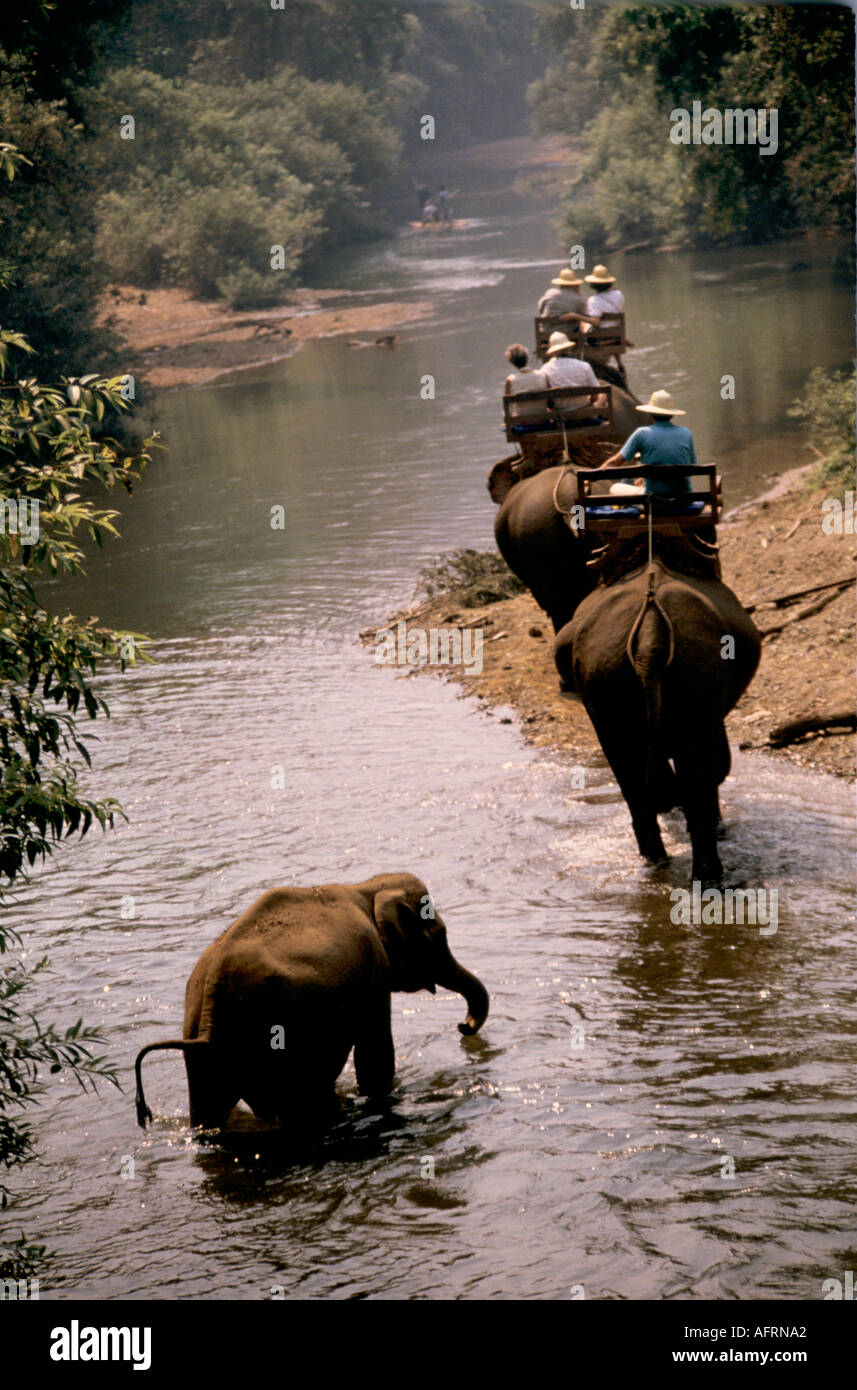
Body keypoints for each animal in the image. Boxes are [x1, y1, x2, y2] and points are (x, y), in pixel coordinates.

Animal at [134, 873, 489, 1131]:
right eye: (440, 936)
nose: (463, 1026)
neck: (367, 887)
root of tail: (210, 1004)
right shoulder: (374, 970)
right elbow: (375, 1055)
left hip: (205, 1046)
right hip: (274, 1040)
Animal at [555, 558, 761, 881]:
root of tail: (649, 640)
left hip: (604, 679)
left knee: (631, 775)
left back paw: (657, 860)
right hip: (695, 674)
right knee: (696, 776)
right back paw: (709, 873)